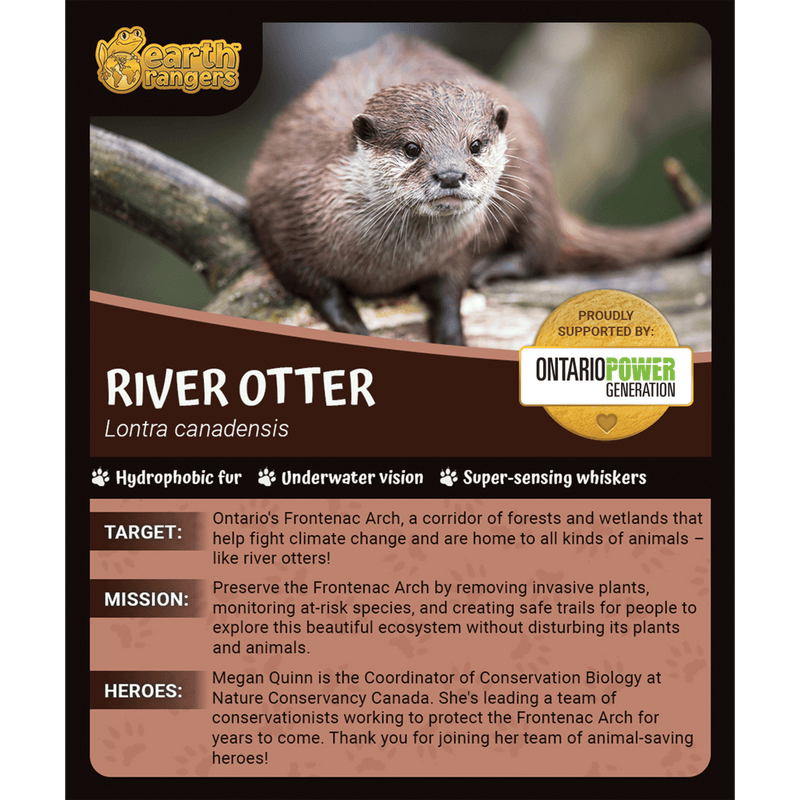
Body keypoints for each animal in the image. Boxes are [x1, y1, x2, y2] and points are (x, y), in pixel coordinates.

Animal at [248, 35, 710, 346]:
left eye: (474, 144)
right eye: (411, 147)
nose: (451, 175)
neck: (387, 263)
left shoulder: (456, 252)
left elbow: (450, 289)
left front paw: (451, 333)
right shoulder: (281, 209)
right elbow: (313, 284)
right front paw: (351, 323)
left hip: (535, 180)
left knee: (541, 247)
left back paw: (495, 267)